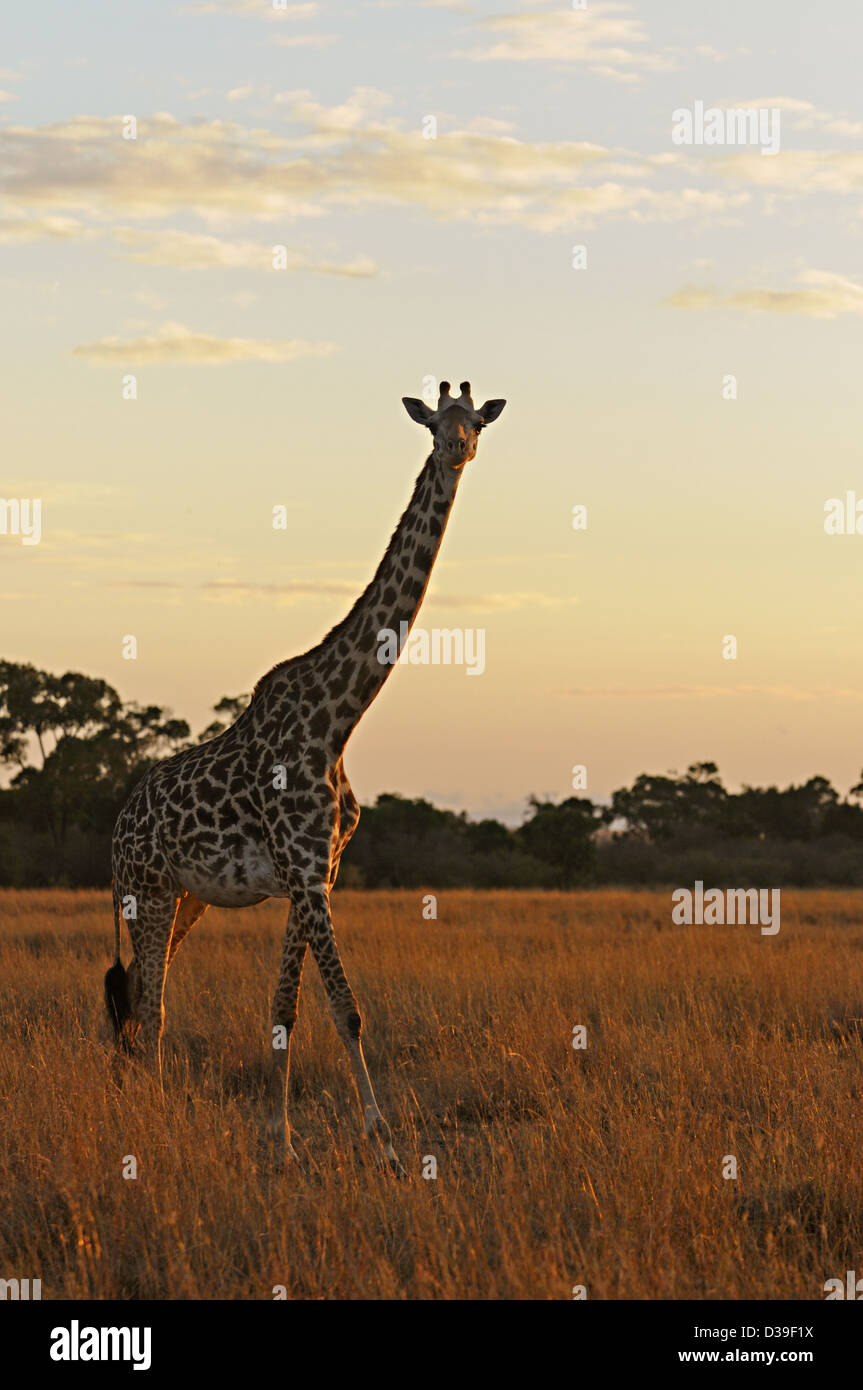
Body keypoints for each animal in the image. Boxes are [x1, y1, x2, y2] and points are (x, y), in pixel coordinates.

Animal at [105, 381, 506, 1173]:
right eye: (434, 424)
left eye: (477, 422)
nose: (457, 451)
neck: (339, 718)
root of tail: (116, 828)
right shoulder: (303, 870)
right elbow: (347, 1010)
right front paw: (385, 1148)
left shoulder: (316, 872)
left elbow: (285, 1009)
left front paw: (281, 1140)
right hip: (146, 892)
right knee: (151, 1007)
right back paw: (155, 1120)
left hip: (186, 900)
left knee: (138, 999)